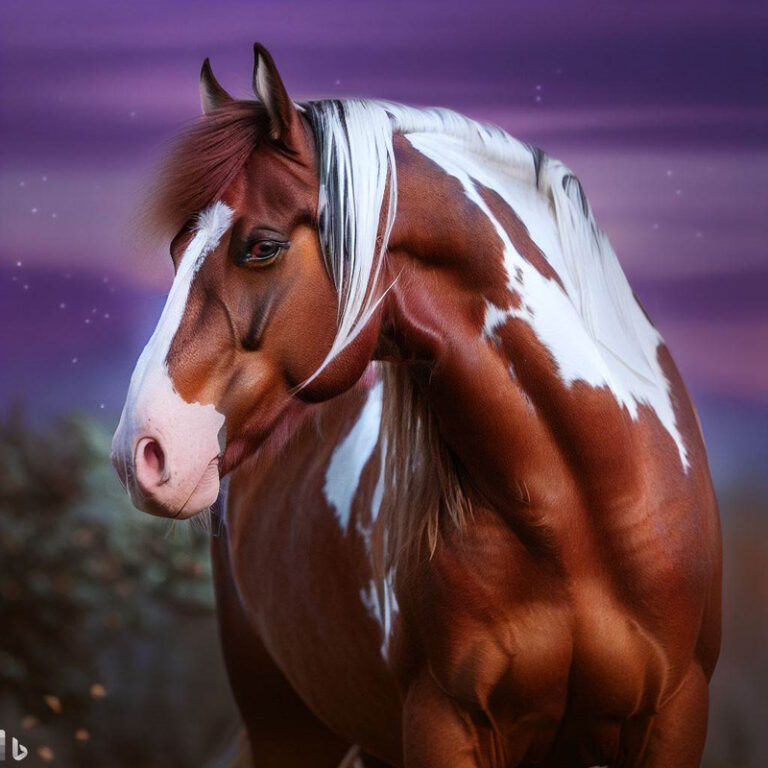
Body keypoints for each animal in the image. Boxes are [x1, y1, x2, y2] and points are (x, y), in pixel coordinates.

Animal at [111, 43, 722, 767]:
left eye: (261, 246)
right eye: (177, 248)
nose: (141, 453)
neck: (579, 514)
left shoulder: (675, 714)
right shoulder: (442, 718)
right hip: (286, 725)